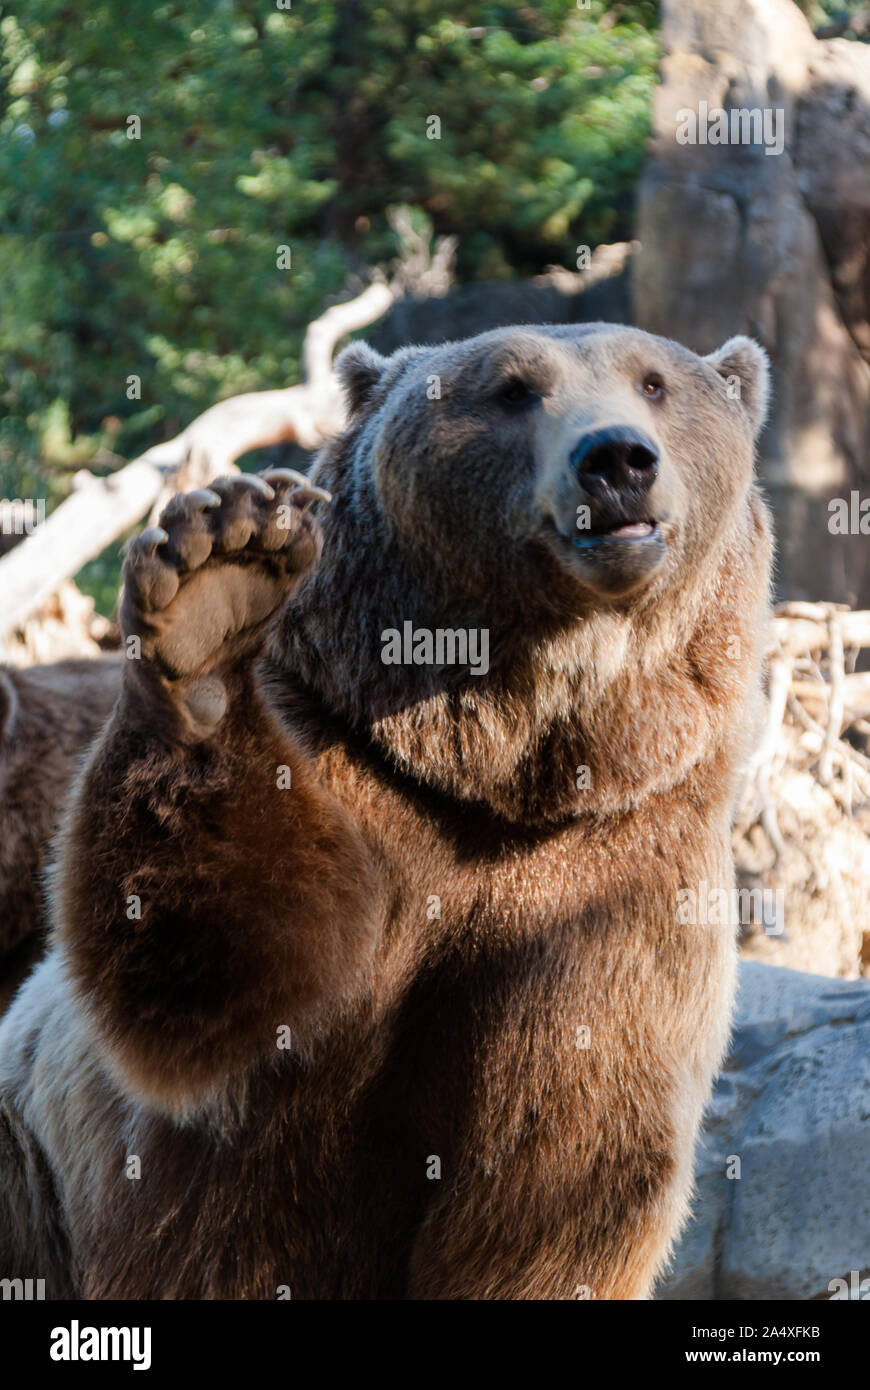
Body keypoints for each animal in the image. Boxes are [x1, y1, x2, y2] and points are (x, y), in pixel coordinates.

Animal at [0, 322, 772, 1300]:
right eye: (512, 389)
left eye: (655, 381)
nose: (616, 459)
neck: (508, 776)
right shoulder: (350, 775)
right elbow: (218, 978)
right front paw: (217, 584)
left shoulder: (620, 882)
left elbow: (561, 1172)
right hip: (27, 1172)